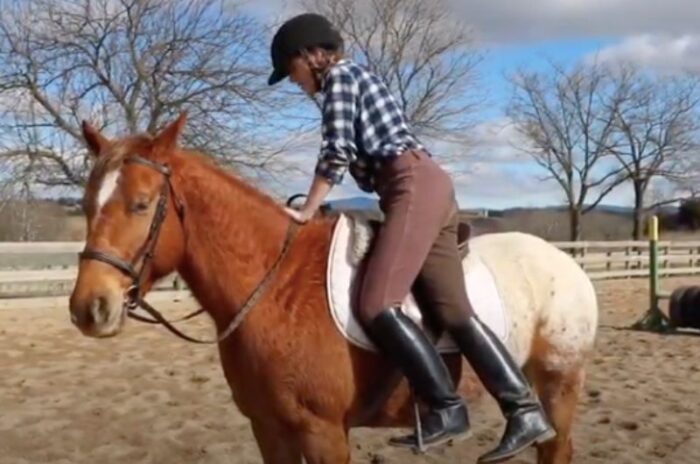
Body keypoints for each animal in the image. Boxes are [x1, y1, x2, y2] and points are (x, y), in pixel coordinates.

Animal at [69, 113, 598, 464]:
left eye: (141, 204)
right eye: (86, 203)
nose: (90, 309)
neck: (274, 287)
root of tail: (565, 263)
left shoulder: (323, 432)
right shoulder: (268, 429)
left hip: (559, 384)